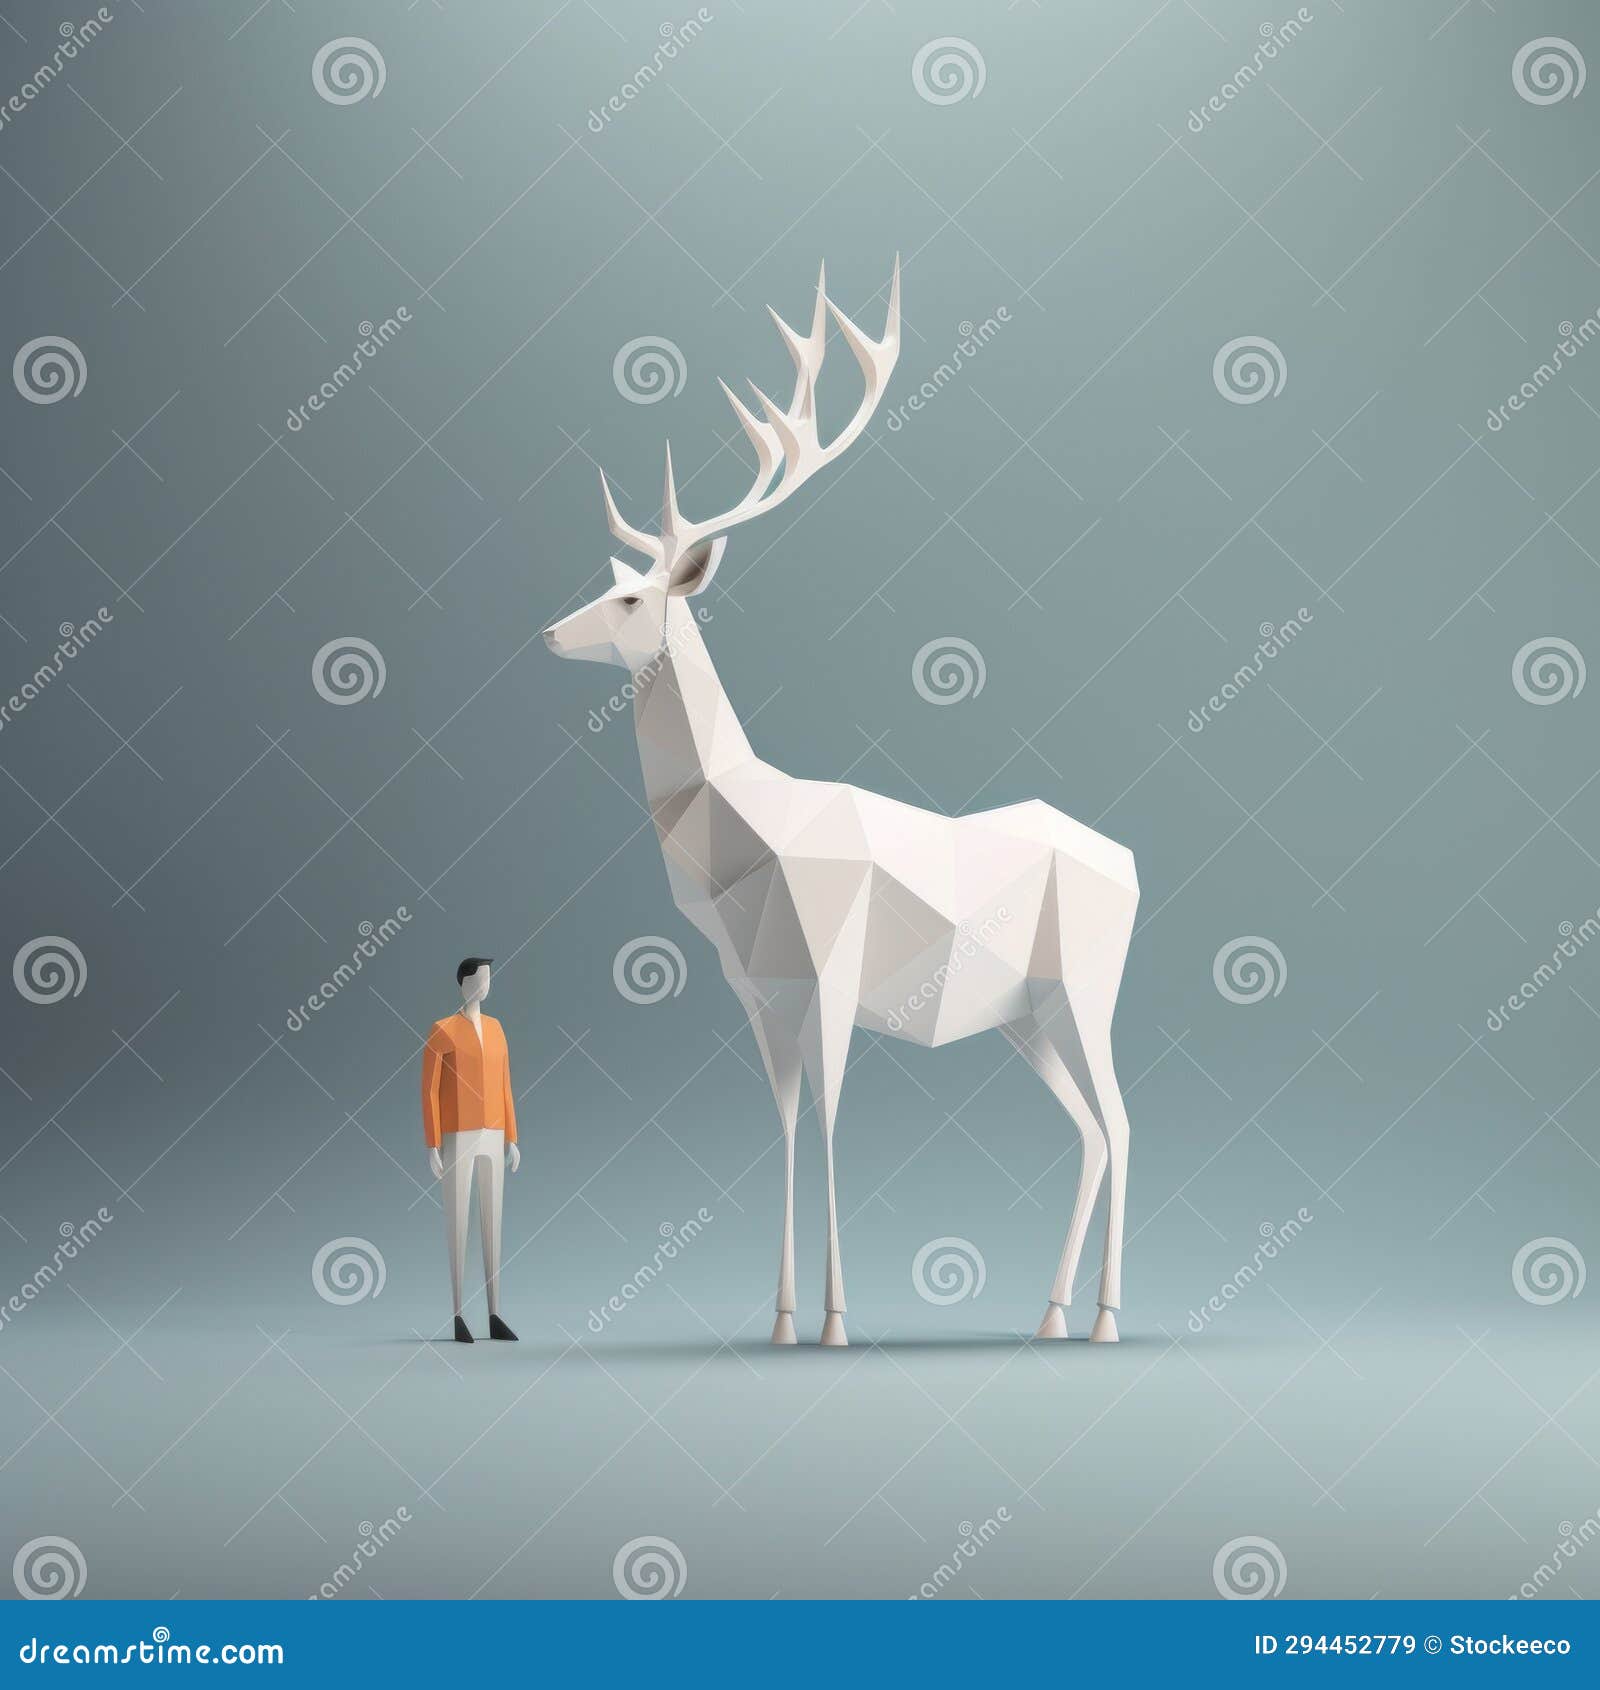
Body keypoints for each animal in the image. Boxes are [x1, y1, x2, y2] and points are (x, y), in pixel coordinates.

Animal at [543, 259, 1139, 1347]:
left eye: (632, 598)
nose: (550, 633)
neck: (745, 847)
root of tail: (1131, 865)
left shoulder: (828, 977)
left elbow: (826, 1125)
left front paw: (831, 1320)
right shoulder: (758, 997)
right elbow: (782, 1127)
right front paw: (778, 1318)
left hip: (1086, 987)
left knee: (1119, 1117)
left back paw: (1107, 1317)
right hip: (1024, 1013)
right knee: (1087, 1126)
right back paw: (1049, 1314)